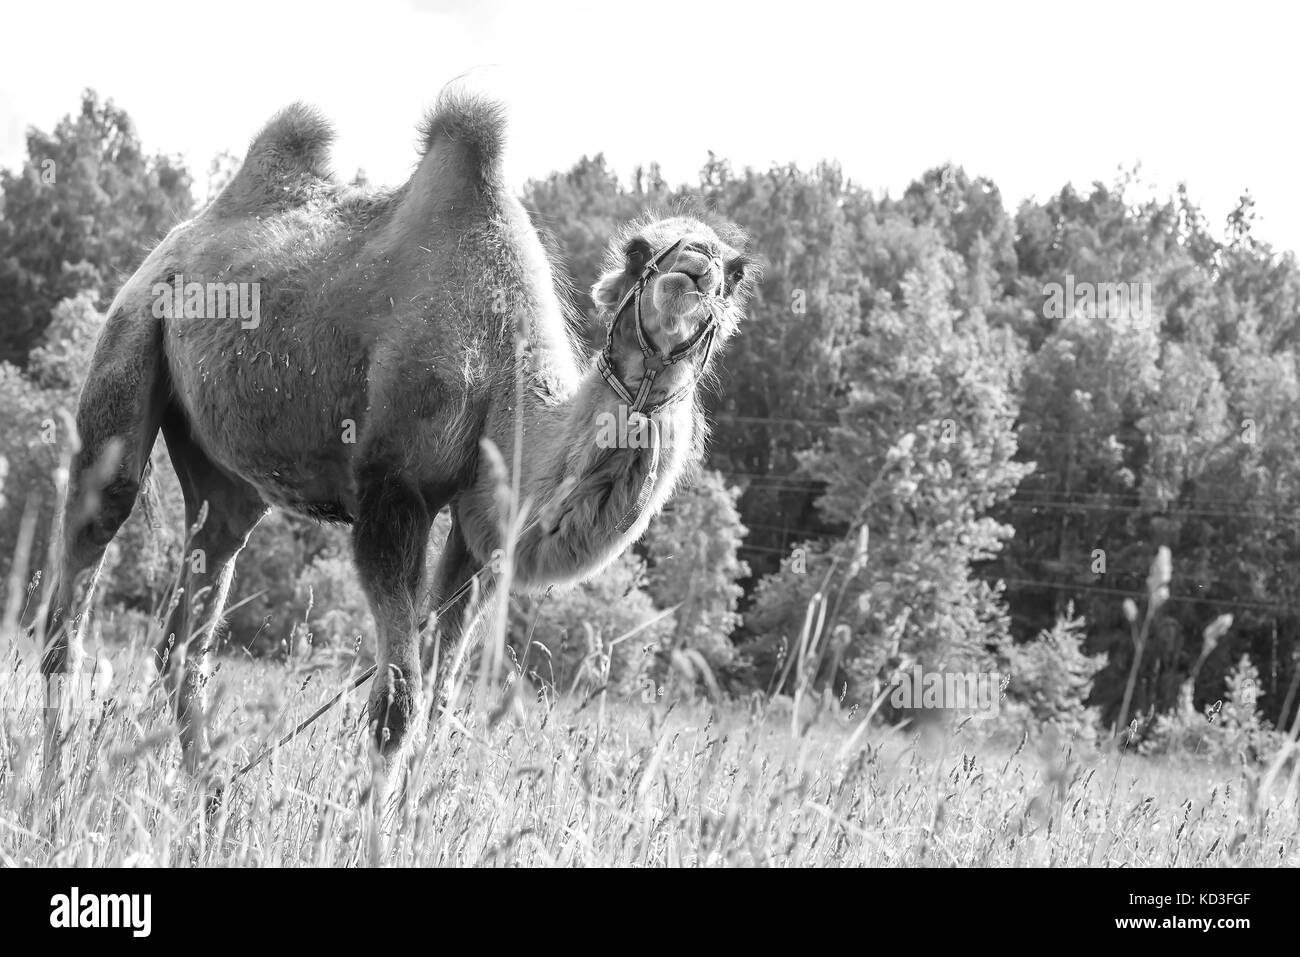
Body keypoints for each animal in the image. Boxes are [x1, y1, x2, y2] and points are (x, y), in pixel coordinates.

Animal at [39, 89, 757, 769]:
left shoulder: (479, 532)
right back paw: (53, 785)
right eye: (640, 253)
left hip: (225, 478)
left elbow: (440, 702)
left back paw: (206, 796)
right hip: (132, 332)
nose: (692, 271)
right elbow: (397, 707)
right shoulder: (391, 495)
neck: (503, 373)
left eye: (735, 268)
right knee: (78, 579)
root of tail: (175, 240)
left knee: (187, 629)